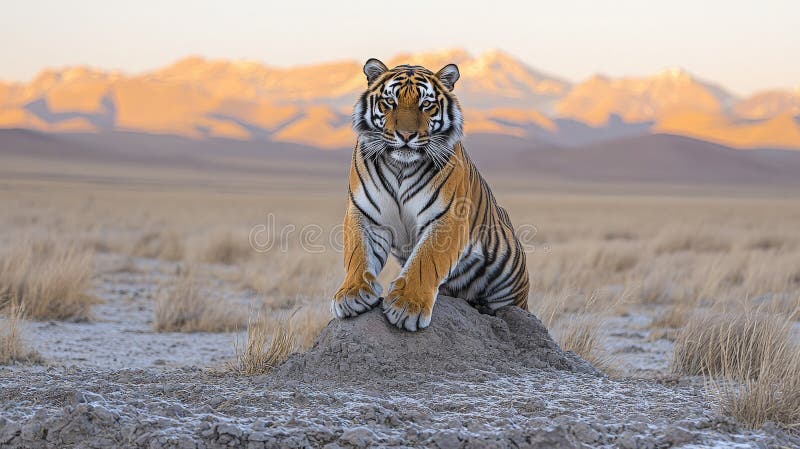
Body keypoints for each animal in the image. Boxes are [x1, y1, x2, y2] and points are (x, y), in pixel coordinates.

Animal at [331, 58, 530, 331]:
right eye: (390, 102)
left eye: (426, 105)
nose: (405, 135)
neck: (401, 166)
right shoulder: (365, 214)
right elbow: (358, 255)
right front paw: (351, 294)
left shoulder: (447, 217)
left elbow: (425, 262)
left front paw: (407, 306)